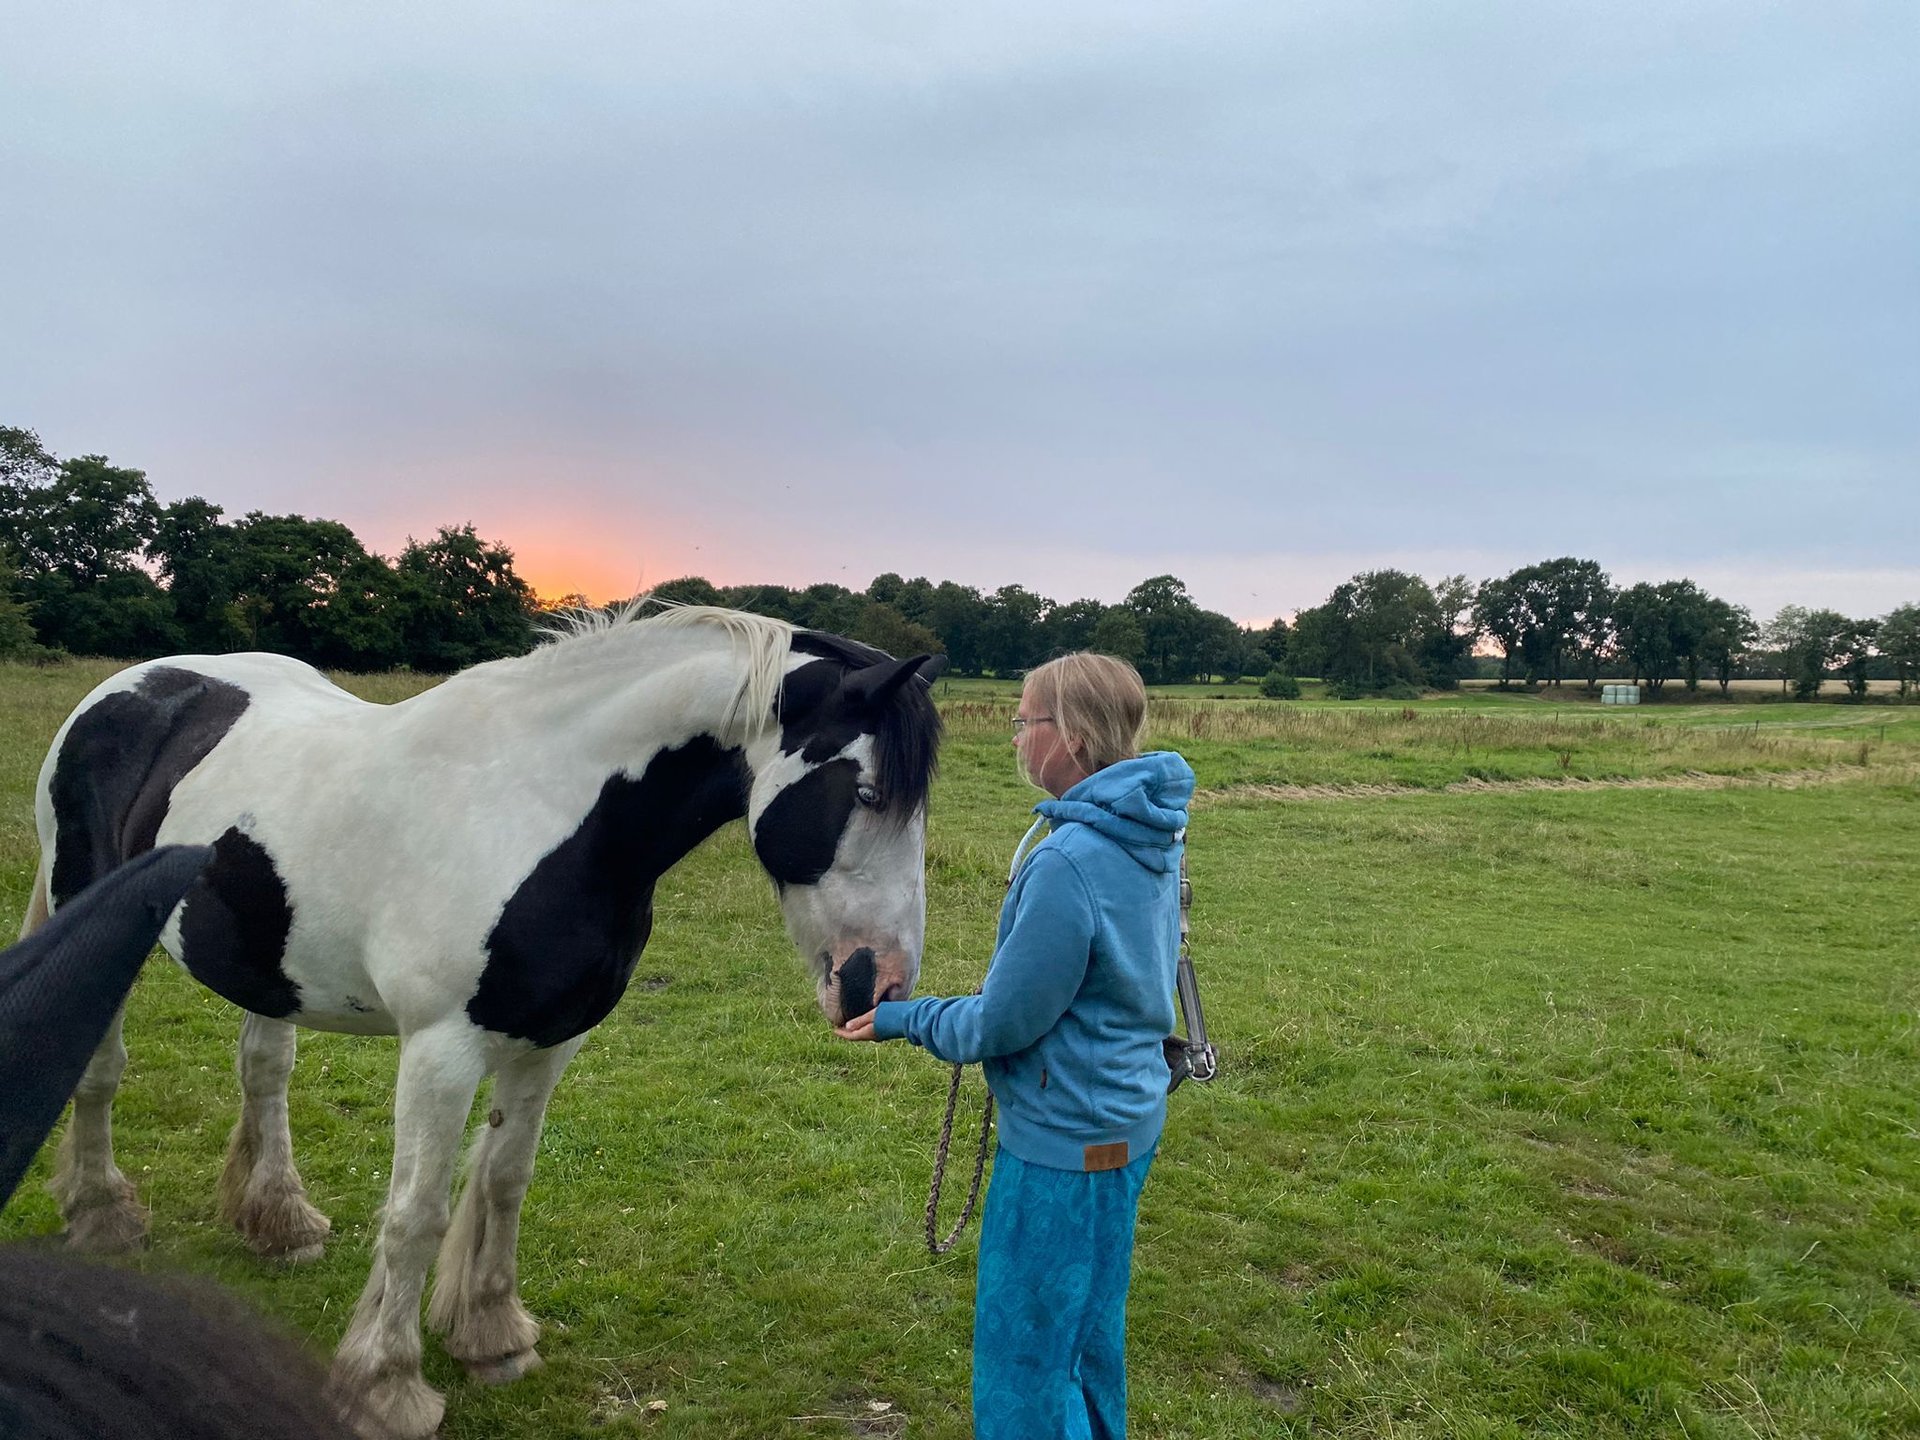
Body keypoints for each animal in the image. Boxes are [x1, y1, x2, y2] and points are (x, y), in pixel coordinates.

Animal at [19, 603, 944, 1440]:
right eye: (865, 791)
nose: (880, 983)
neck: (548, 816)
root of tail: (128, 689)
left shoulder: (549, 1044)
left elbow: (505, 1182)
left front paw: (492, 1336)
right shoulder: (441, 1051)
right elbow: (417, 1214)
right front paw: (386, 1386)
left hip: (267, 968)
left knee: (264, 1070)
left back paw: (279, 1222)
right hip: (88, 916)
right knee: (100, 1071)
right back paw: (103, 1216)